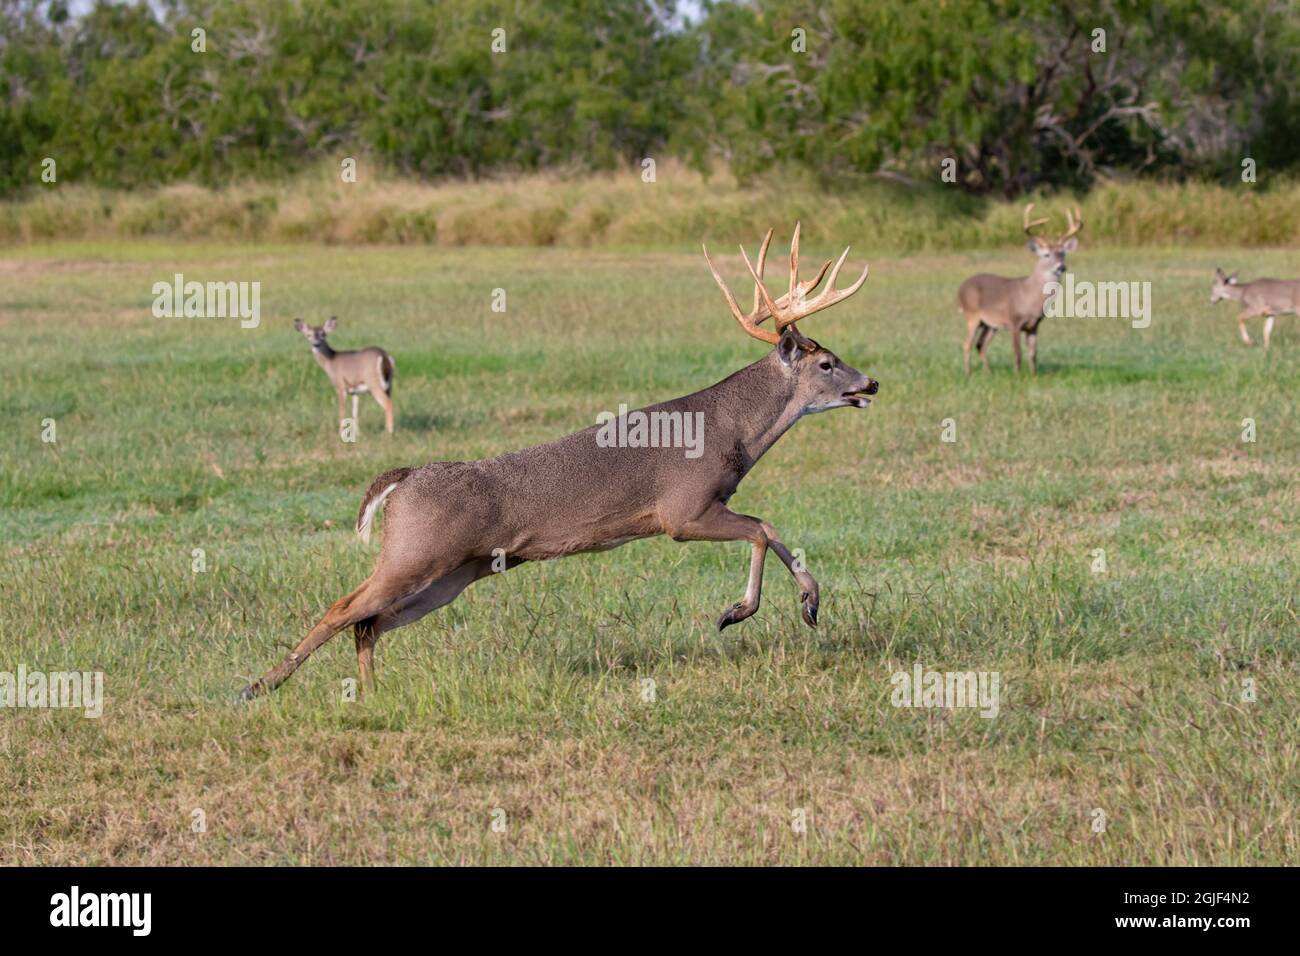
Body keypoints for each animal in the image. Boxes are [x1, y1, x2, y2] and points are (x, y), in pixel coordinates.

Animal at [240, 225, 878, 700]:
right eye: (826, 363)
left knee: (369, 621)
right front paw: (740, 611)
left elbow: (768, 527)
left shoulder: (707, 506)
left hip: (452, 575)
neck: (733, 431)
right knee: (343, 607)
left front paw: (809, 604)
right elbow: (761, 529)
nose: (870, 382)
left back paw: (372, 693)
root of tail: (402, 480)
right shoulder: (683, 510)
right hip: (416, 551)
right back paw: (258, 686)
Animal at [958, 204, 1083, 375]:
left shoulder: (1034, 325)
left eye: (1063, 253)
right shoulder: (1015, 321)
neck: (1030, 297)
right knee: (967, 343)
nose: (1061, 267)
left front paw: (1034, 376)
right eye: (1046, 254)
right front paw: (1017, 375)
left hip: (990, 324)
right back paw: (968, 373)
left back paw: (989, 373)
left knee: (981, 344)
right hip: (972, 315)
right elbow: (1017, 353)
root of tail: (960, 288)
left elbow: (1033, 354)